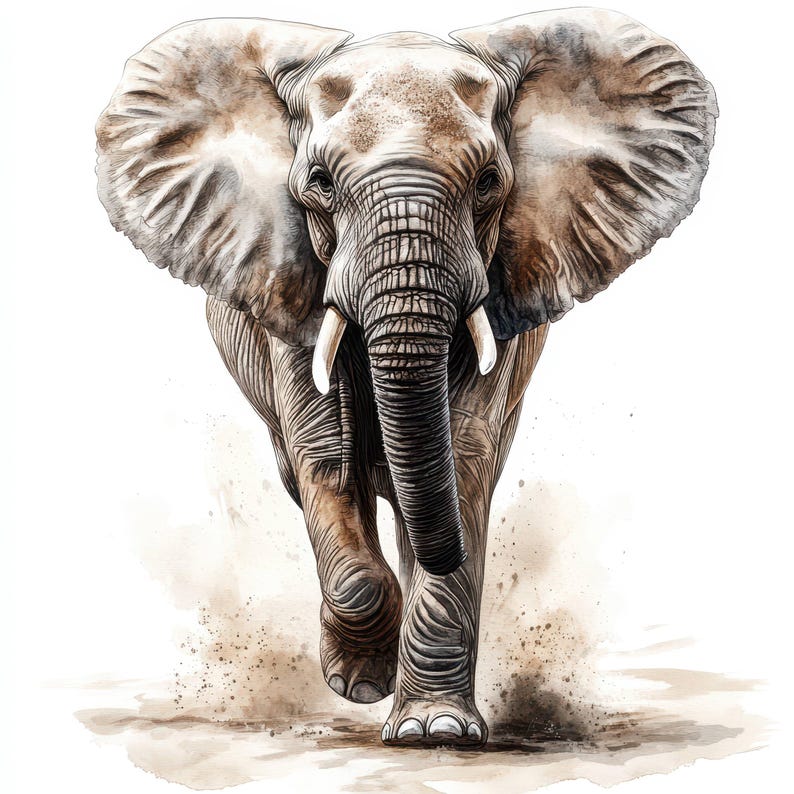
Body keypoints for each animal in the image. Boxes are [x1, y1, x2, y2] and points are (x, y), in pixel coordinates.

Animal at [96, 8, 717, 747]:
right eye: (320, 183)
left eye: (488, 182)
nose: (371, 684)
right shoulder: (290, 283)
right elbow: (323, 458)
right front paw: (362, 680)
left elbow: (467, 456)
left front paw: (435, 731)